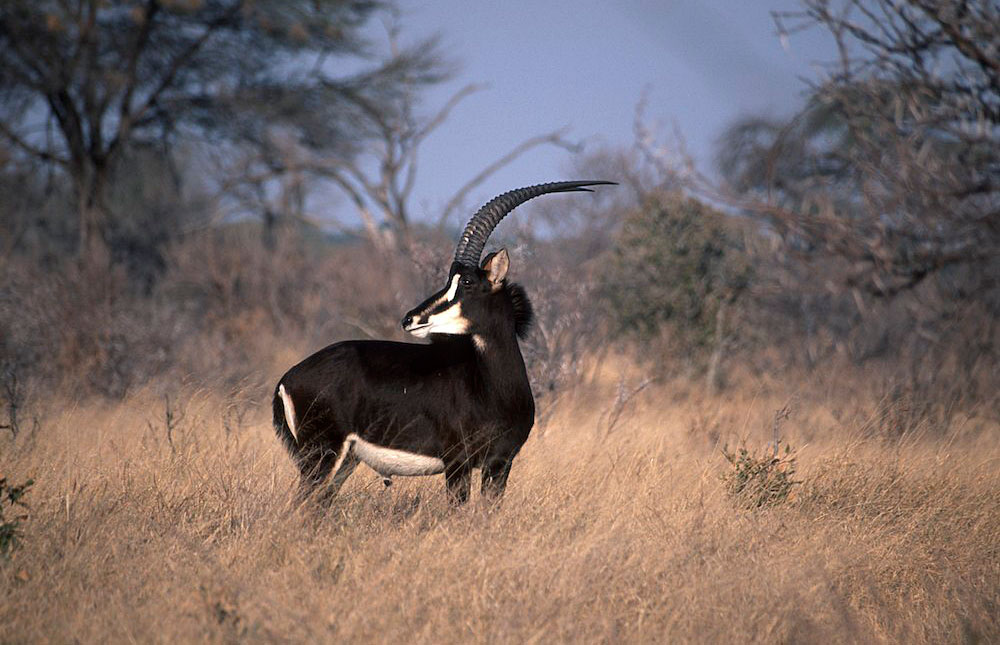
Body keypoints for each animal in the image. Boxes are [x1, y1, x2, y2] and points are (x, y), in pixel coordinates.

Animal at [272, 181, 615, 505]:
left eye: (467, 282)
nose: (409, 319)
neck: (493, 386)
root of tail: (287, 378)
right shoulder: (457, 463)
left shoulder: (500, 464)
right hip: (322, 455)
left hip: (345, 460)